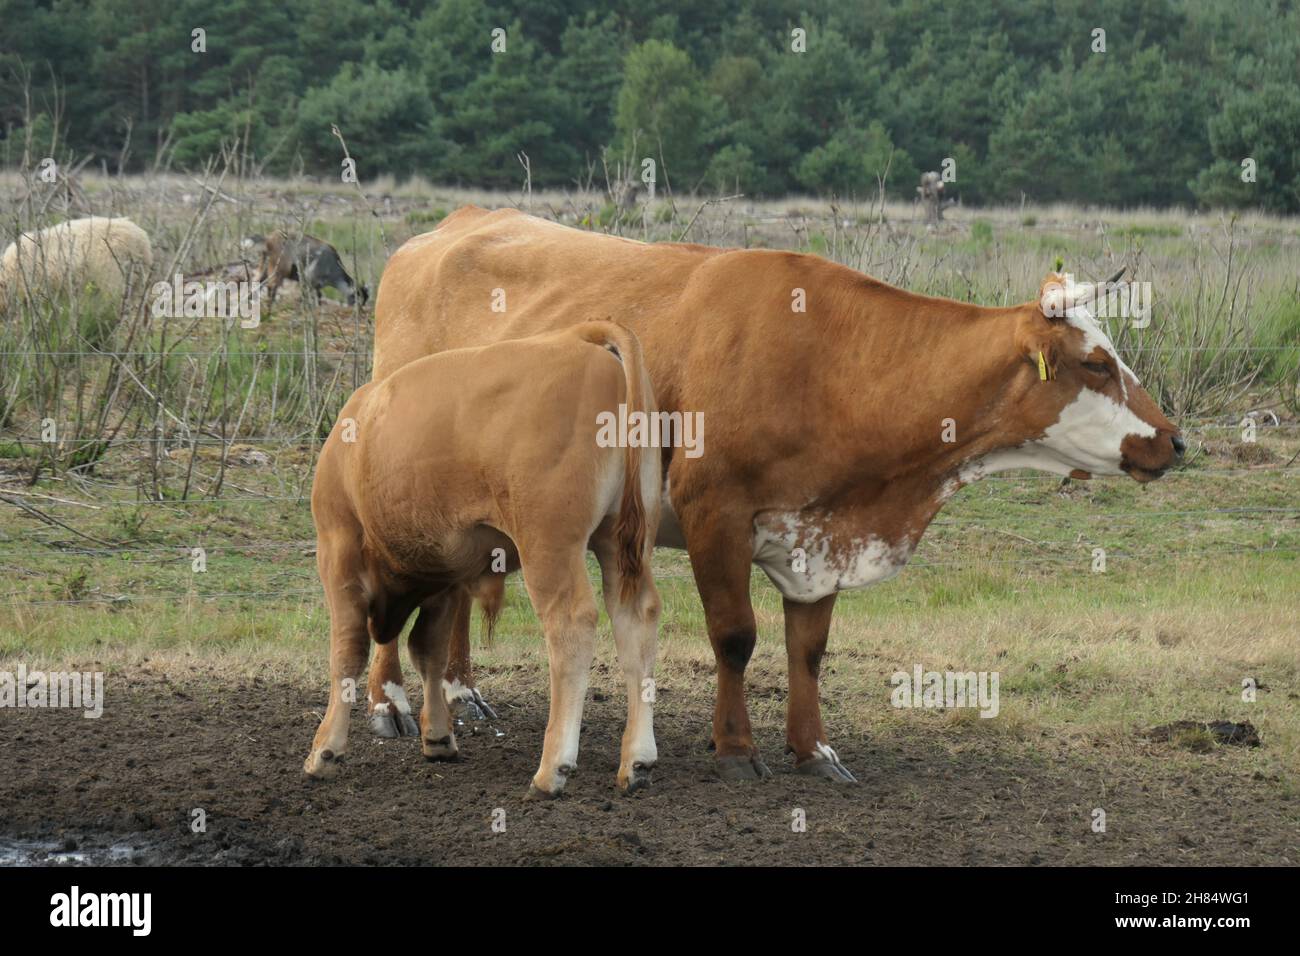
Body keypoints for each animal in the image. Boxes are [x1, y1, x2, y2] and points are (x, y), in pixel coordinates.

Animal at [304, 320, 661, 797]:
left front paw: (325, 749)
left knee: (571, 626)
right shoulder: (444, 573)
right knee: (636, 620)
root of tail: (578, 336)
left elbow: (348, 652)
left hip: (550, 546)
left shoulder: (339, 549)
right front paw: (438, 737)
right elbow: (429, 650)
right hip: (622, 545)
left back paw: (552, 768)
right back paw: (637, 761)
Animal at [366, 205, 1183, 784]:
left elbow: (809, 648)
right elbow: (735, 635)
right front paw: (735, 749)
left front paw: (813, 750)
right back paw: (387, 703)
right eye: (1096, 364)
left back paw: (460, 692)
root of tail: (456, 224)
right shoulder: (714, 512)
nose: (1176, 440)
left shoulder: (820, 535)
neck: (828, 364)